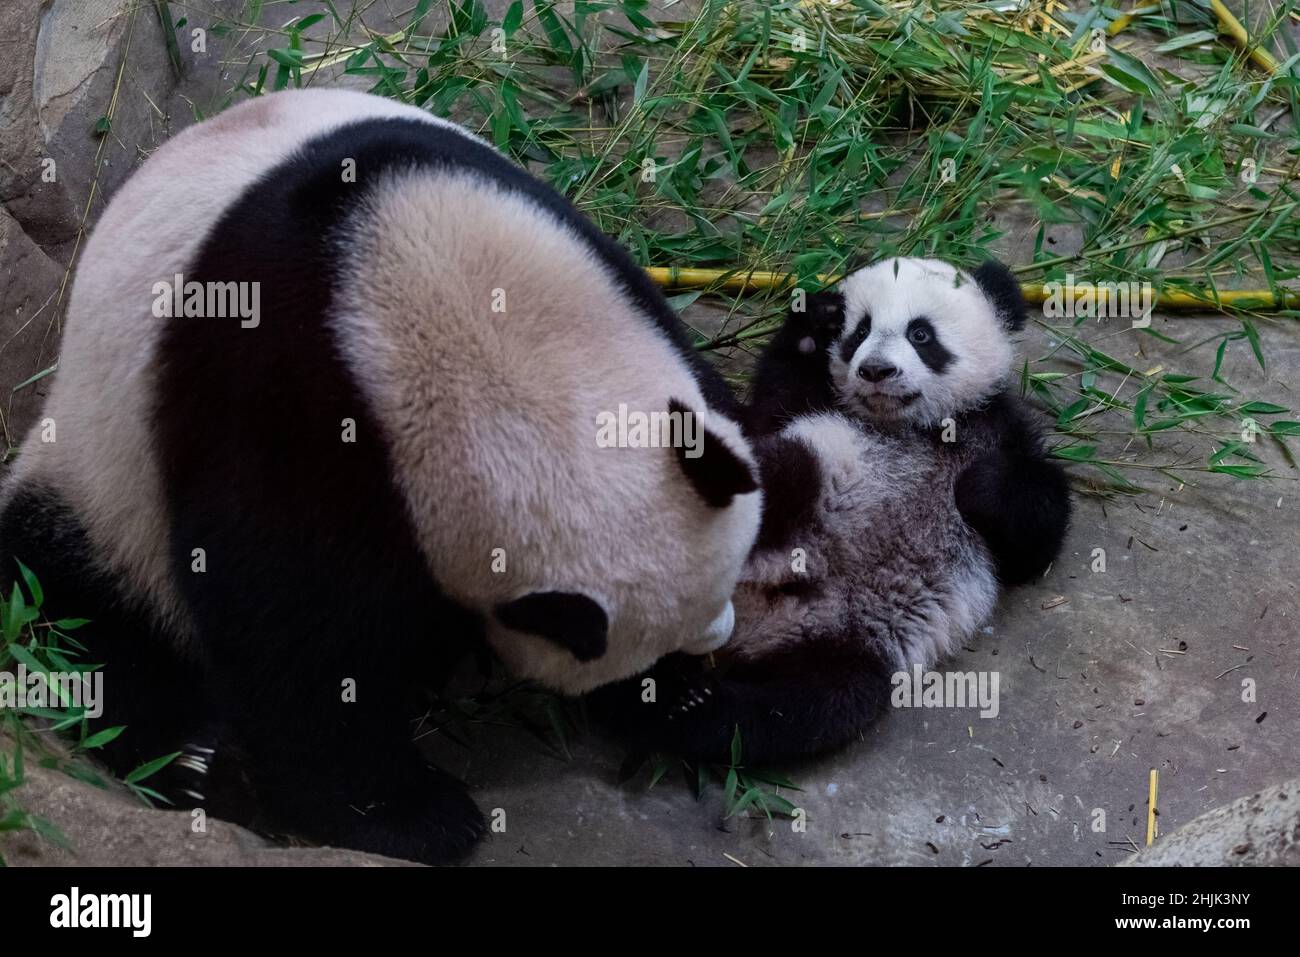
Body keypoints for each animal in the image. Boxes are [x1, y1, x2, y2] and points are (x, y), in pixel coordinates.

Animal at [0, 89, 763, 864]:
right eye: (655, 641)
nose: (717, 638)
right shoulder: (277, 398)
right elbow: (293, 630)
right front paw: (416, 813)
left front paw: (687, 702)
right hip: (105, 477)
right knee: (76, 611)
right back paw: (192, 757)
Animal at [591, 257, 1071, 765]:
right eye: (859, 332)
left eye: (921, 334)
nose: (876, 370)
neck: (917, 424)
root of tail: (761, 613)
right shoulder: (814, 410)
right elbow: (771, 406)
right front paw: (812, 323)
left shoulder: (996, 427)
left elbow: (1034, 541)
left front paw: (980, 485)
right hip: (805, 477)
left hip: (850, 645)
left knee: (794, 711)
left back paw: (678, 703)